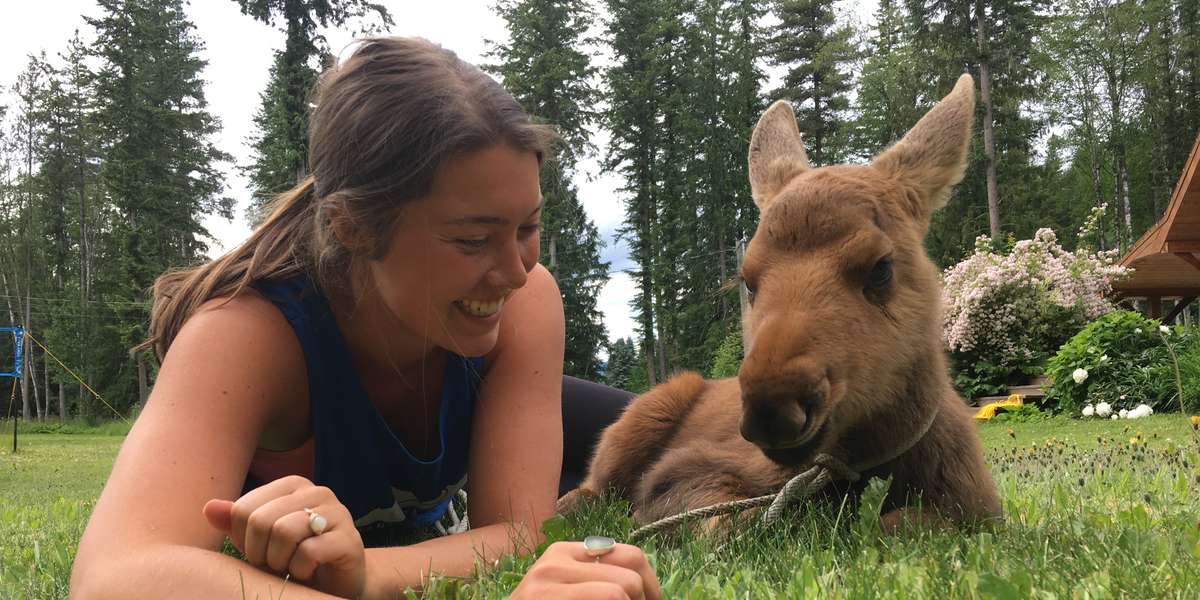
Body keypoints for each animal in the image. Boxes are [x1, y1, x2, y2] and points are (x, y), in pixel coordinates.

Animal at [558, 74, 1002, 534]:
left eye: (881, 267)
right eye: (747, 280)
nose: (772, 405)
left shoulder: (980, 510)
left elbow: (904, 522)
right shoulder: (679, 473)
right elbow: (734, 522)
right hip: (640, 418)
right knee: (585, 491)